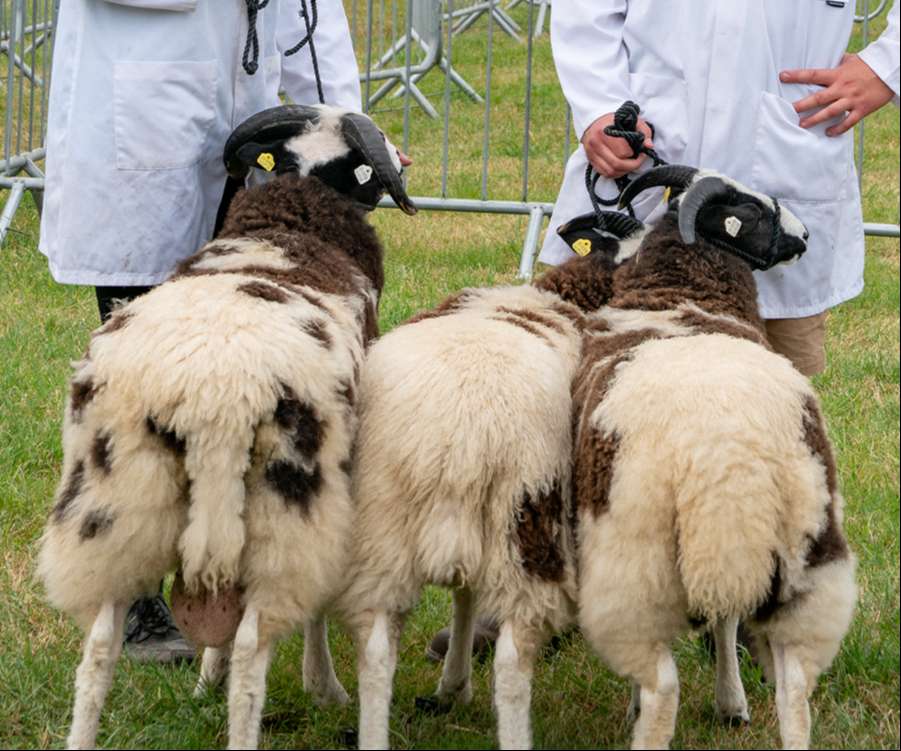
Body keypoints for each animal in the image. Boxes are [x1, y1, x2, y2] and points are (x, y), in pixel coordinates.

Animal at [36, 103, 415, 751]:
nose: (402, 157)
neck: (295, 219)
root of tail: (211, 397)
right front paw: (325, 686)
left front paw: (201, 682)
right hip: (287, 500)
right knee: (251, 649)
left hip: (111, 503)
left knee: (100, 647)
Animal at [334, 211, 646, 751]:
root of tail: (459, 437)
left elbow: (462, 595)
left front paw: (452, 686)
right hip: (525, 518)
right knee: (513, 658)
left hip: (384, 522)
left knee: (375, 648)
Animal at [571, 164, 857, 750]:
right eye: (752, 210)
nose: (805, 236)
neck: (682, 293)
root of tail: (729, 459)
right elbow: (726, 621)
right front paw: (733, 703)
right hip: (811, 546)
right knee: (795, 686)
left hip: (633, 560)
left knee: (662, 685)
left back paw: (645, 718)